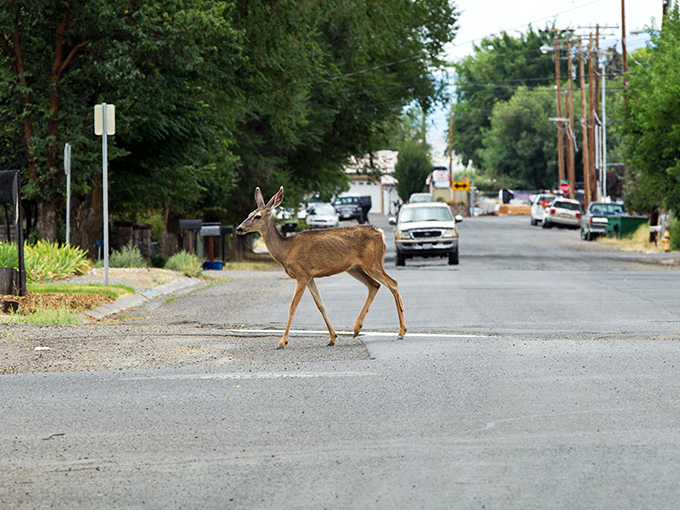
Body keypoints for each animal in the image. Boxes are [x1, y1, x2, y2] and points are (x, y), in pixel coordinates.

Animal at [236, 186, 407, 349]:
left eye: (258, 216)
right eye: (249, 213)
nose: (238, 228)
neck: (286, 250)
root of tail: (380, 233)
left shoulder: (302, 274)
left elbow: (293, 306)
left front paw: (282, 342)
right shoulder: (310, 276)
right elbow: (320, 304)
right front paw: (332, 338)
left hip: (372, 263)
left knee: (393, 283)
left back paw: (401, 332)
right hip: (355, 268)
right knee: (374, 285)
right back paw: (356, 329)